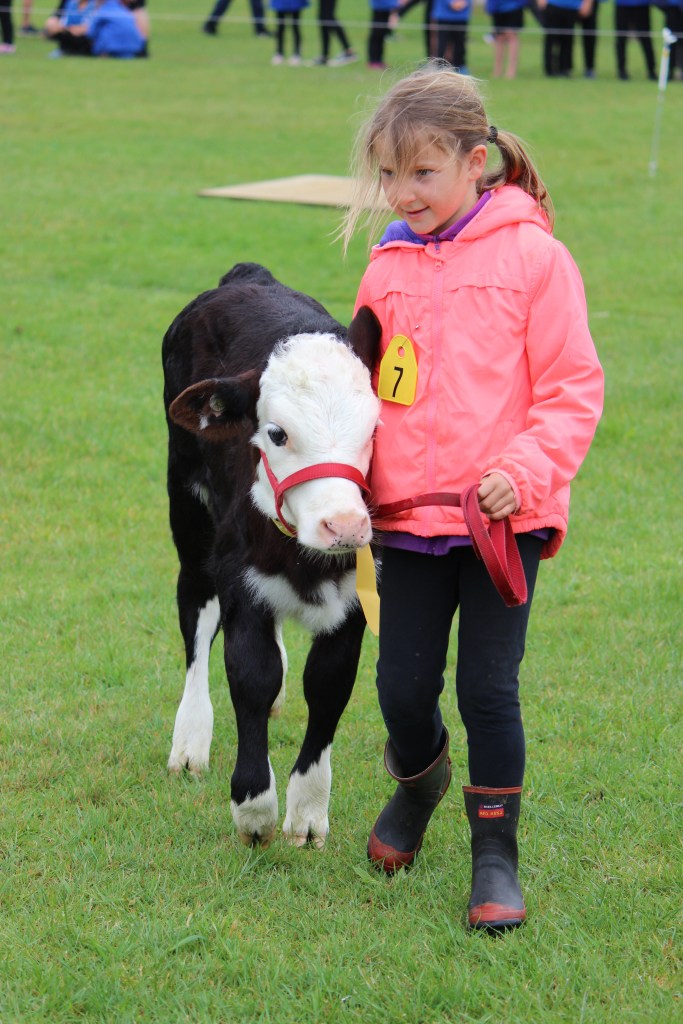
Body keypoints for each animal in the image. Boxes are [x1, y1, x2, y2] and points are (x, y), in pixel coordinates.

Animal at [162, 262, 382, 850]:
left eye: (374, 428)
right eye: (277, 433)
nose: (345, 525)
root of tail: (247, 276)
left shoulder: (355, 603)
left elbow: (327, 686)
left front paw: (307, 812)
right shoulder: (240, 581)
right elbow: (251, 676)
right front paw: (254, 809)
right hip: (189, 513)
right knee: (195, 614)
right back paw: (189, 740)